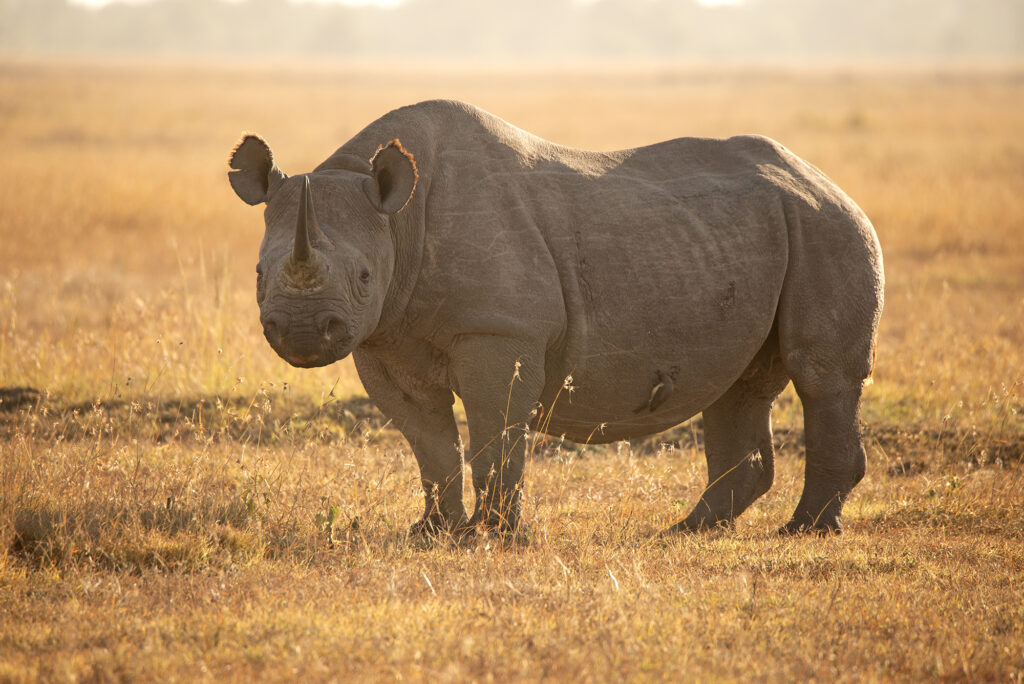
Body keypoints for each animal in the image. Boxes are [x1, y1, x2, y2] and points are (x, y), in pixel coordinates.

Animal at [228, 100, 883, 537]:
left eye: (364, 277)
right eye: (257, 274)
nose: (304, 333)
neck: (398, 222)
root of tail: (827, 182)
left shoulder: (499, 328)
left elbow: (494, 429)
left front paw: (491, 535)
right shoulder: (384, 338)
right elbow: (428, 440)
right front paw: (433, 532)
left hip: (827, 226)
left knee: (821, 377)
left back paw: (803, 532)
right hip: (762, 232)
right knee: (737, 385)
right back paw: (688, 531)